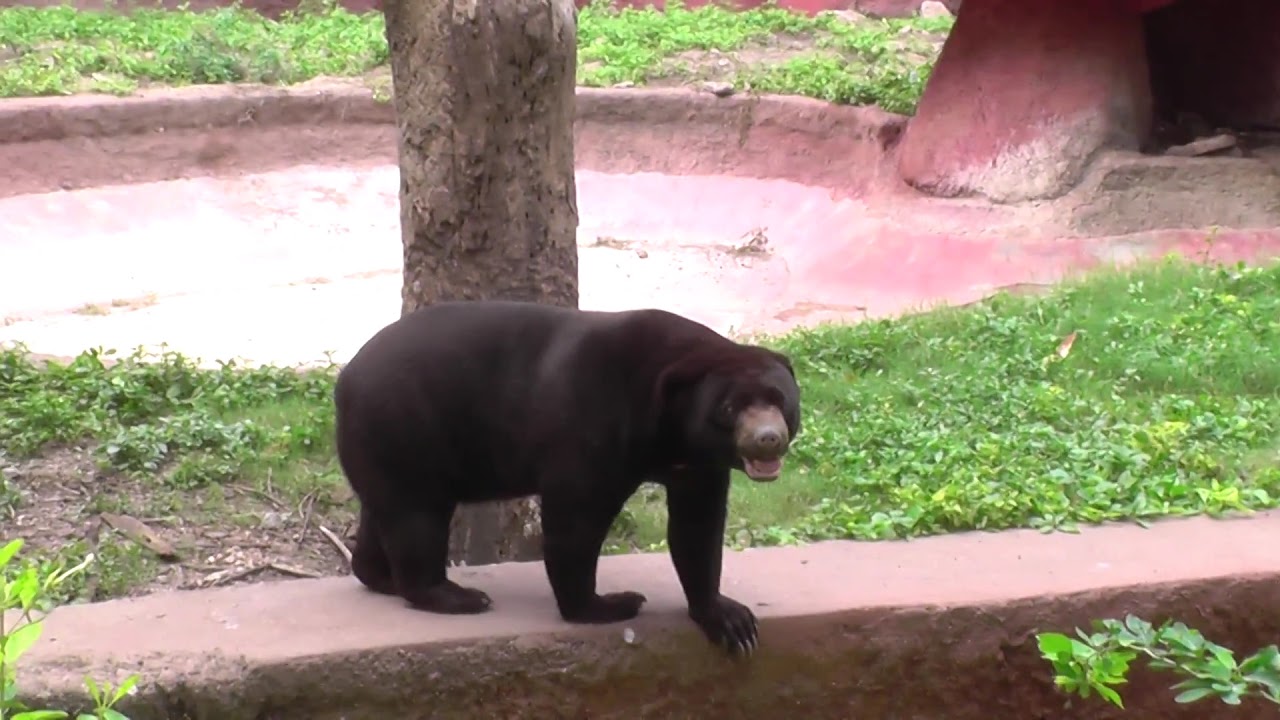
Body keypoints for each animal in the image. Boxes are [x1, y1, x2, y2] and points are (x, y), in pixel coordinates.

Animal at [333, 300, 802, 657]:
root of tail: (345, 378)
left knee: (385, 512)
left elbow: (698, 527)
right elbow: (575, 518)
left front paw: (730, 620)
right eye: (730, 408)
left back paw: (382, 577)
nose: (767, 439)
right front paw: (609, 604)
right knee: (417, 518)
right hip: (406, 427)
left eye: (780, 400)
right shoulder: (592, 425)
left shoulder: (699, 463)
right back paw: (456, 596)